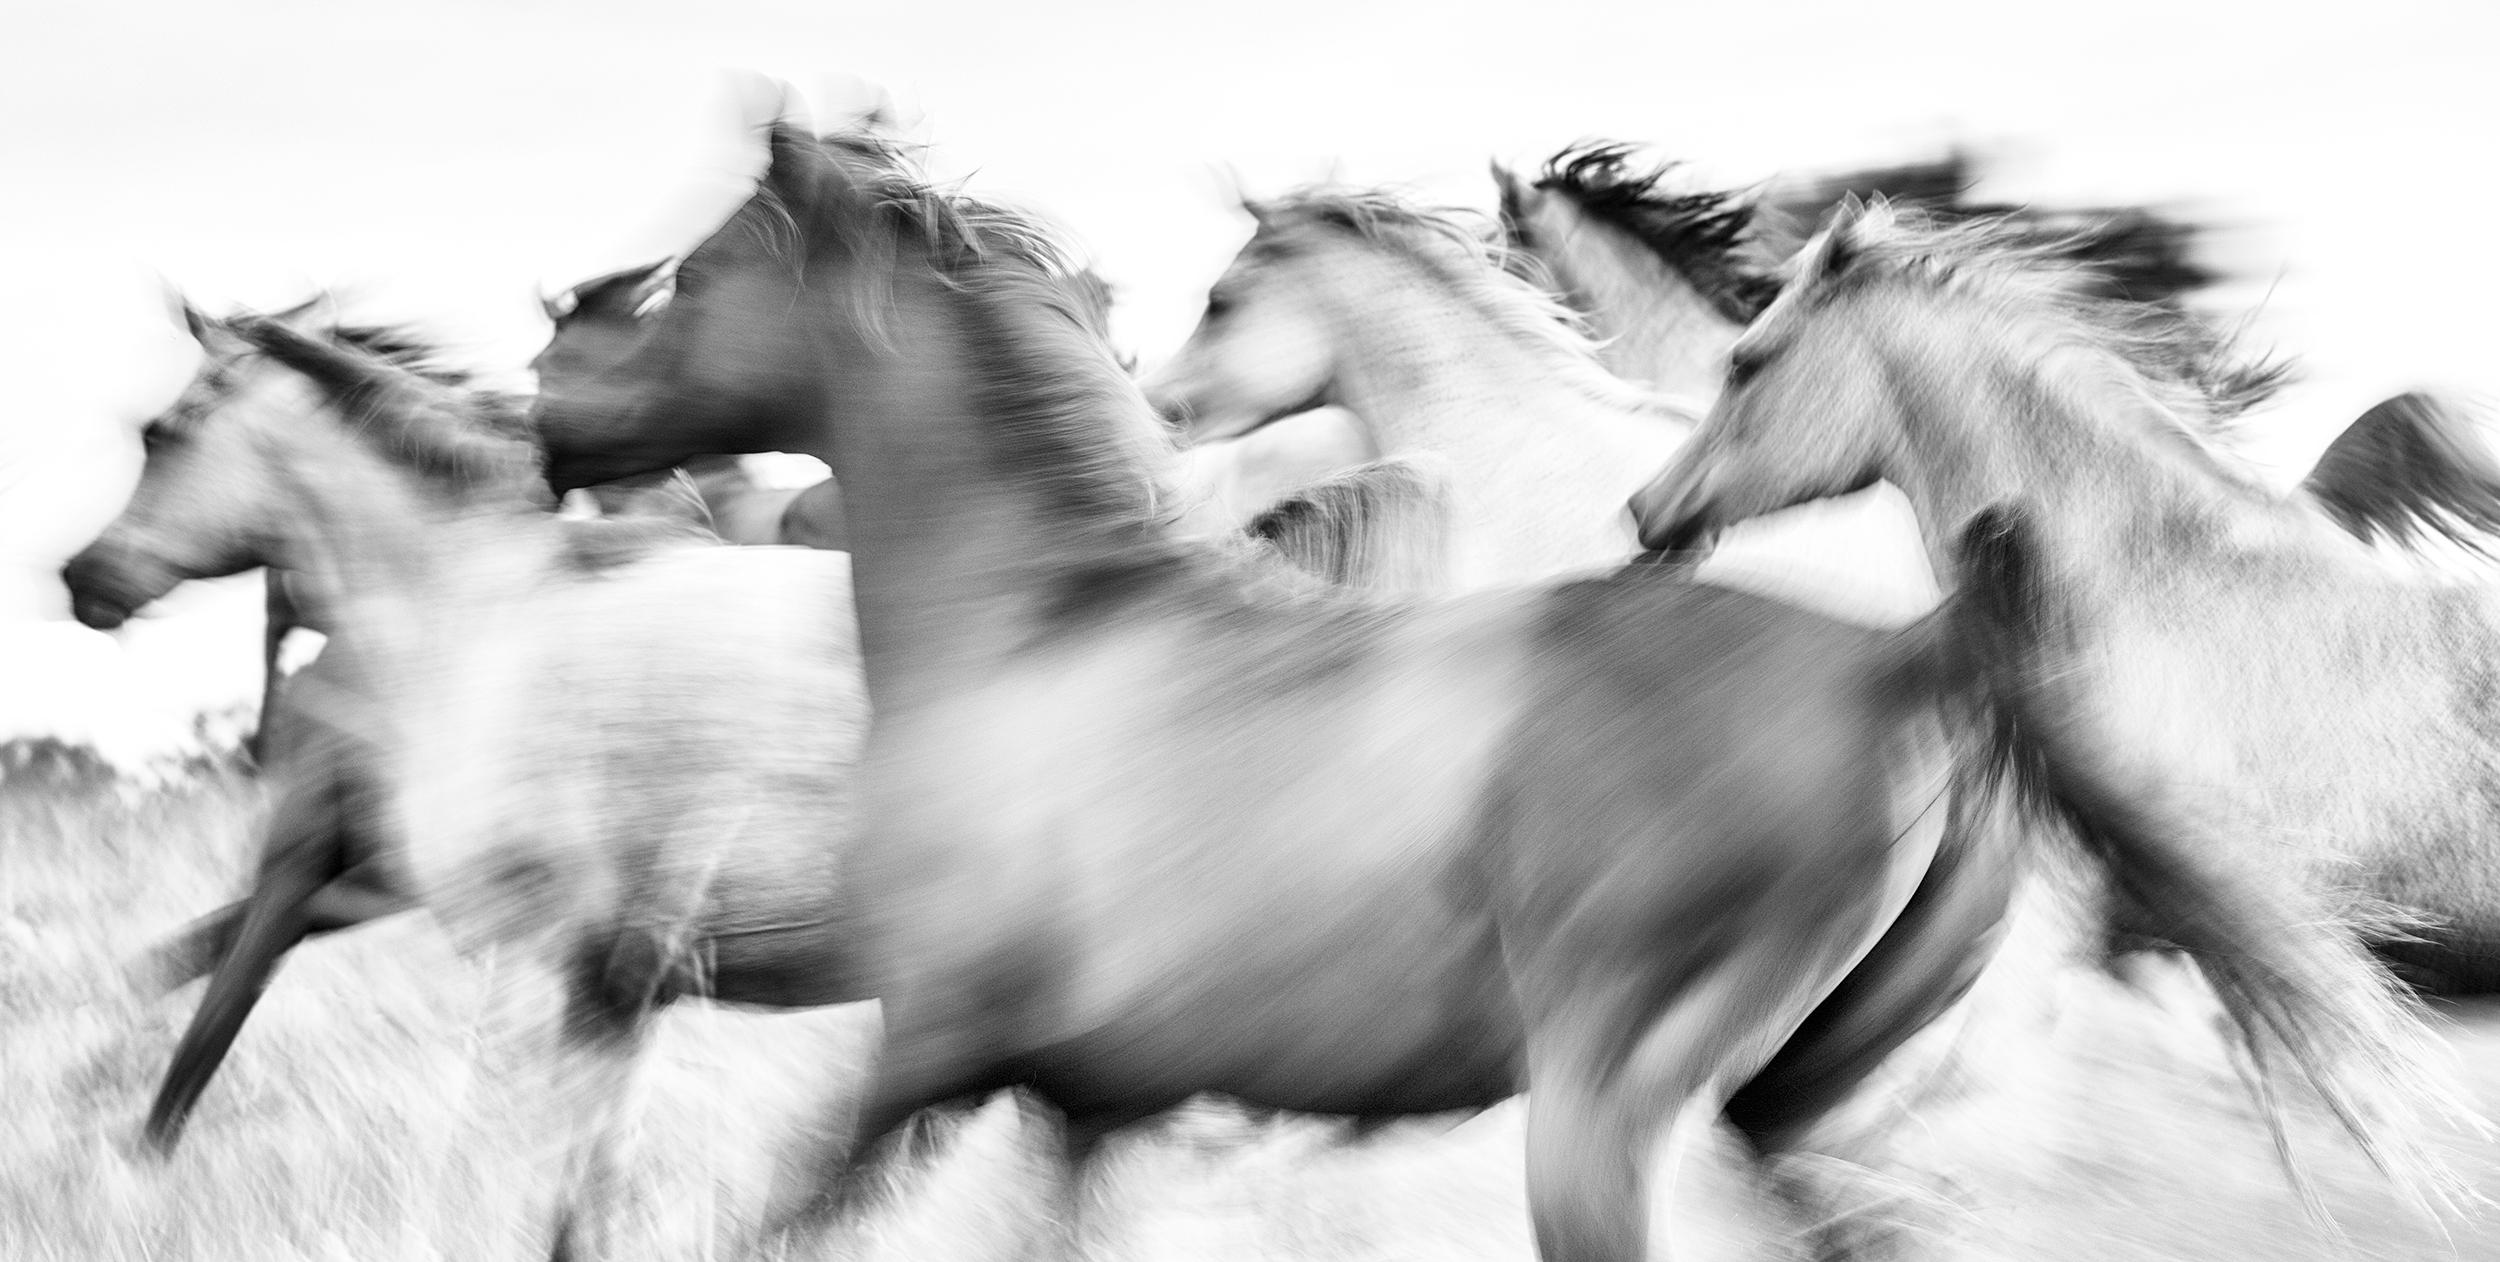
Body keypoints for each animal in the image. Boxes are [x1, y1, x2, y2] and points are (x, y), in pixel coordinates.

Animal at [60, 302, 882, 1259]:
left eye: (160, 435)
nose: (86, 577)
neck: (483, 620)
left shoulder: (528, 954)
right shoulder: (621, 988)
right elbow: (581, 1192)